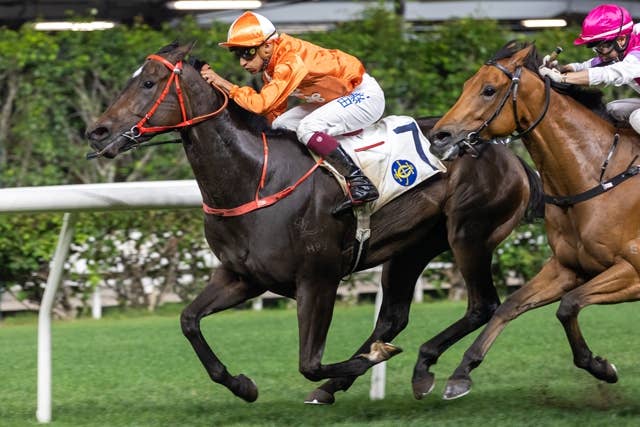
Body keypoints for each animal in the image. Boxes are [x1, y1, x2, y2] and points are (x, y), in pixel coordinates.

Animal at [85, 42, 543, 404]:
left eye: (148, 83)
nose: (97, 131)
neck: (256, 178)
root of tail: (506, 152)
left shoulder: (318, 278)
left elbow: (309, 362)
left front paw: (368, 359)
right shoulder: (243, 276)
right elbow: (188, 321)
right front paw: (242, 385)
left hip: (469, 234)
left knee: (482, 304)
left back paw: (420, 368)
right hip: (412, 247)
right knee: (394, 317)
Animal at [429, 40, 640, 400]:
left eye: (488, 89)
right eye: (466, 85)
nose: (439, 136)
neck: (597, 174)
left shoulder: (633, 272)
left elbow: (568, 305)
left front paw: (602, 367)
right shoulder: (567, 268)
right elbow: (511, 305)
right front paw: (461, 373)